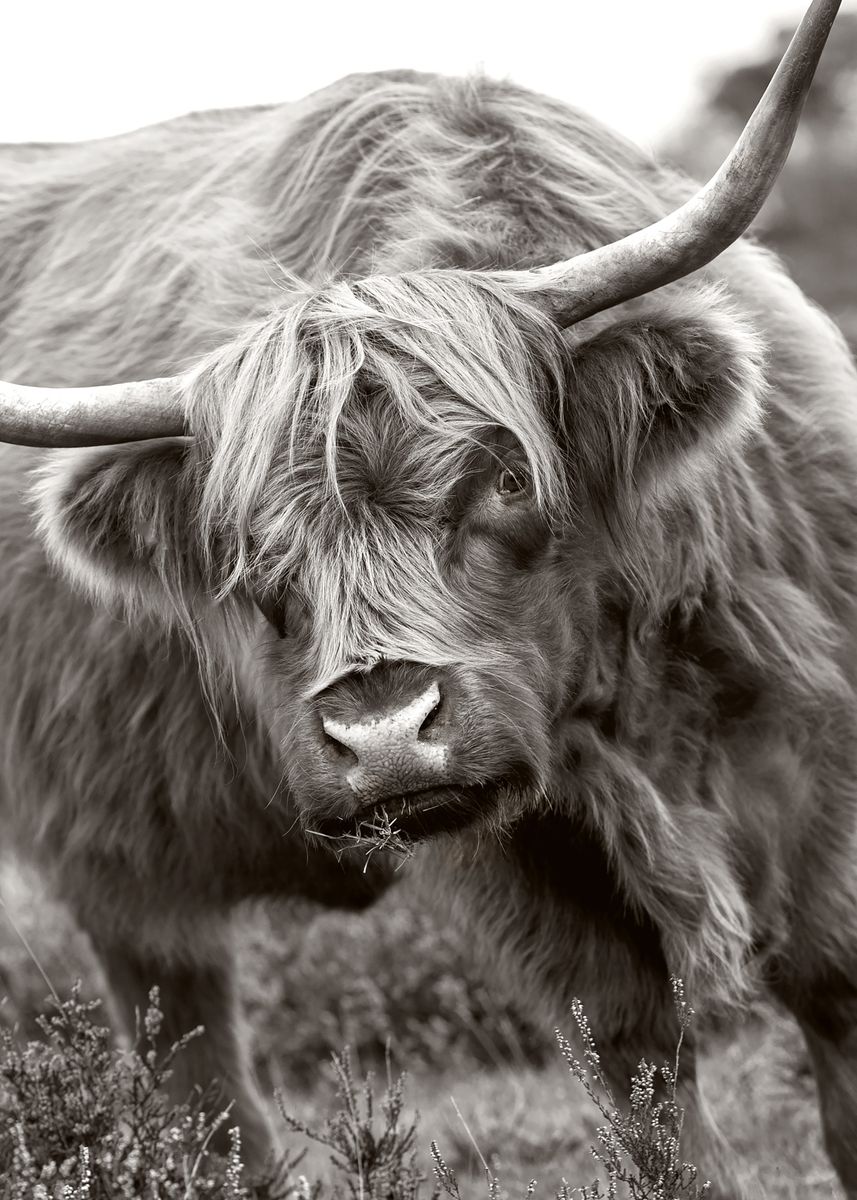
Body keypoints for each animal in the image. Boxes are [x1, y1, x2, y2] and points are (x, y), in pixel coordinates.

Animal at [0, 0, 854, 1194]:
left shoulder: (817, 760)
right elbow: (642, 1084)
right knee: (194, 1067)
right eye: (248, 547)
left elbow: (832, 1001)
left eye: (503, 480)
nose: (383, 734)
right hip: (114, 859)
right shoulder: (533, 870)